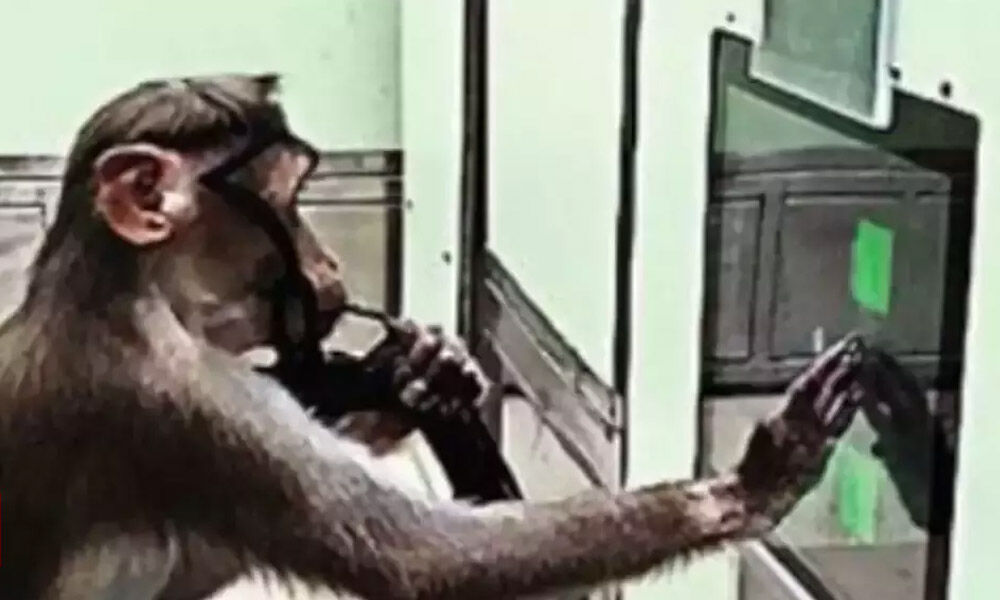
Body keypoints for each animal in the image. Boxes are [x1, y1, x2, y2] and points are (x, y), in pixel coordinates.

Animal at [0, 74, 868, 600]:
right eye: (286, 204)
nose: (328, 263)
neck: (129, 290)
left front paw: (419, 369)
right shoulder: (192, 403)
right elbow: (421, 563)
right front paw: (748, 485)